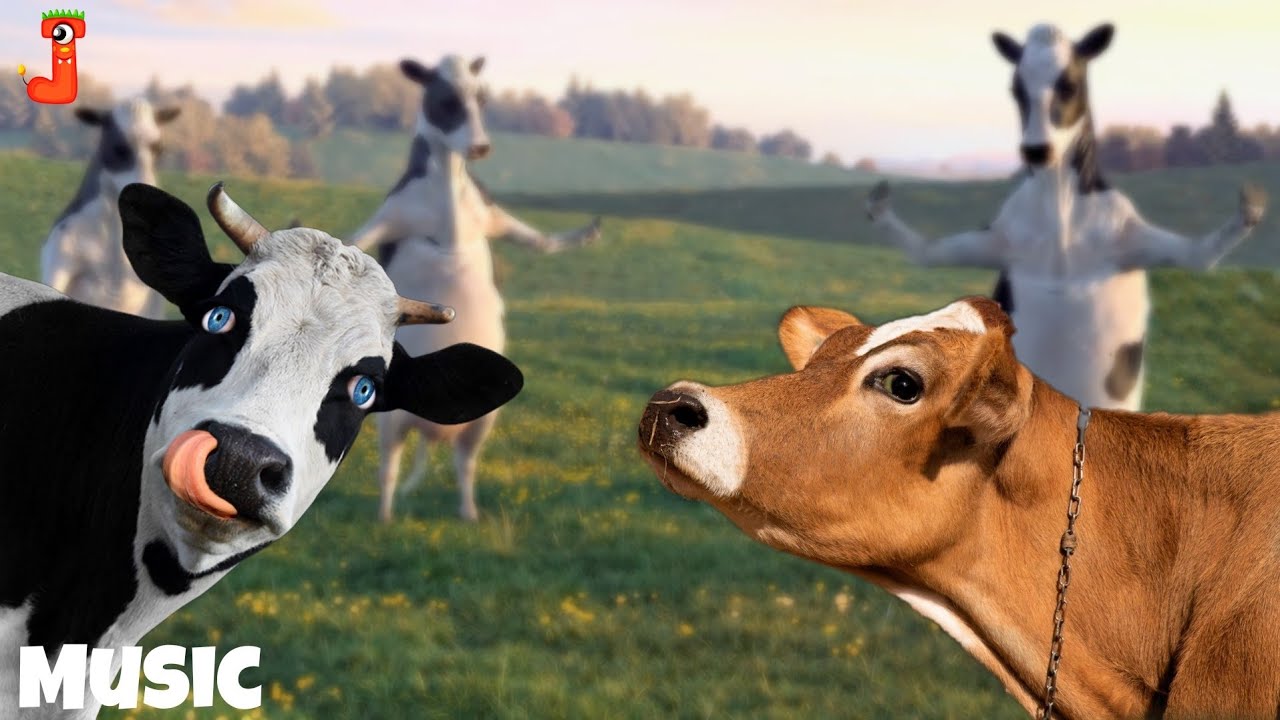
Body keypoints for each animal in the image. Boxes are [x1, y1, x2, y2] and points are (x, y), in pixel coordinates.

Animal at [347, 54, 600, 522]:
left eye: (482, 99)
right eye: (446, 99)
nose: (481, 147)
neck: (448, 204)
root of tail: (435, 428)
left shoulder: (490, 217)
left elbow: (538, 241)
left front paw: (585, 234)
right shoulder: (390, 217)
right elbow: (352, 241)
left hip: (483, 420)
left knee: (464, 464)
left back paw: (468, 511)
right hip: (392, 417)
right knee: (389, 468)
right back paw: (384, 516)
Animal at [866, 23, 1266, 412]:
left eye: (1070, 84)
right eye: (1016, 89)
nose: (1036, 150)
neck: (1060, 216)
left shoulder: (1130, 240)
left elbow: (1199, 256)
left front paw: (1252, 204)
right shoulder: (1000, 241)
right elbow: (928, 253)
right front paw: (879, 205)